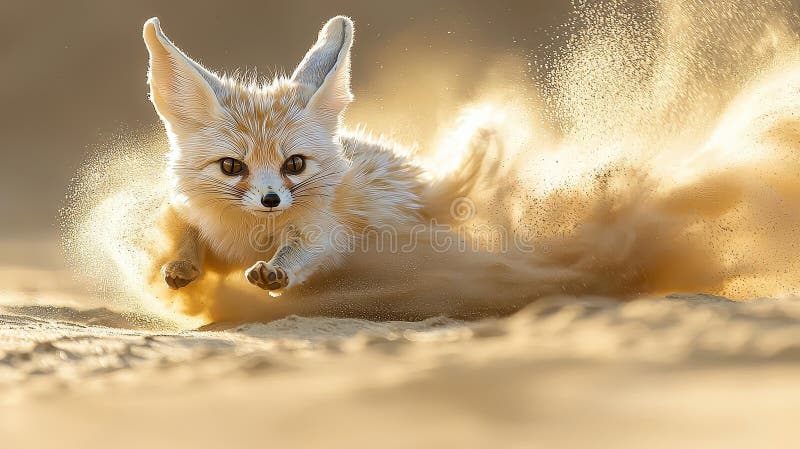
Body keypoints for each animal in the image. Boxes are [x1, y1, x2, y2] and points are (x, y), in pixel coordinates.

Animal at [143, 16, 492, 297]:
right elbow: (185, 234)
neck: (248, 236)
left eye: (295, 164)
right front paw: (180, 265)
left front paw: (275, 271)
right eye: (231, 166)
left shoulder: (324, 233)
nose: (271, 200)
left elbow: (301, 253)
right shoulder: (183, 209)